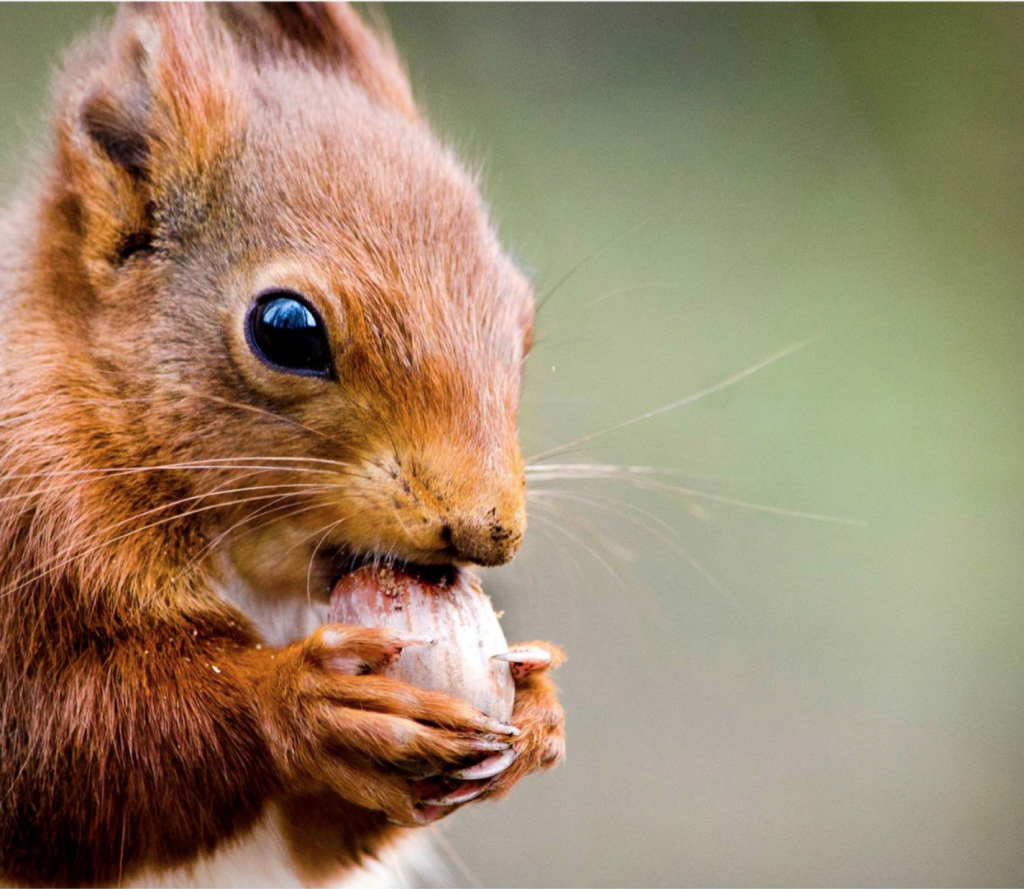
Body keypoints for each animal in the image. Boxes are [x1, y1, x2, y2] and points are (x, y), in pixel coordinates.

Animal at [0, 4, 566, 886]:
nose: (488, 530)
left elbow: (324, 832)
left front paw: (540, 711)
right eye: (286, 329)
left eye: (524, 318)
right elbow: (52, 753)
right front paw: (303, 700)